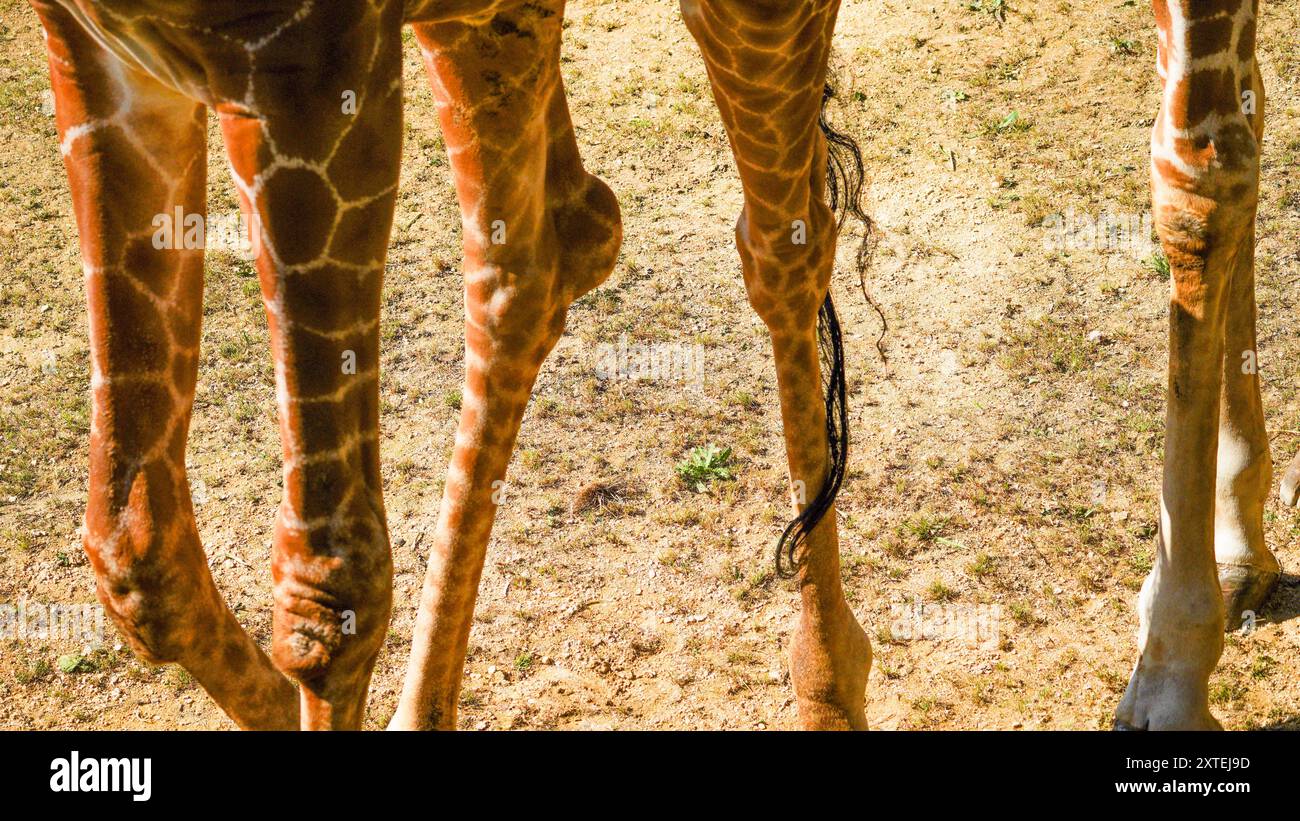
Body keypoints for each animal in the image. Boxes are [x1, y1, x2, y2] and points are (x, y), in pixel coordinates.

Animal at [31, 0, 872, 730]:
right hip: (481, 21)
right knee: (550, 253)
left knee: (784, 248)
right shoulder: (88, 42)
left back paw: (829, 684)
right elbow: (136, 550)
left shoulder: (304, 62)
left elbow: (328, 593)